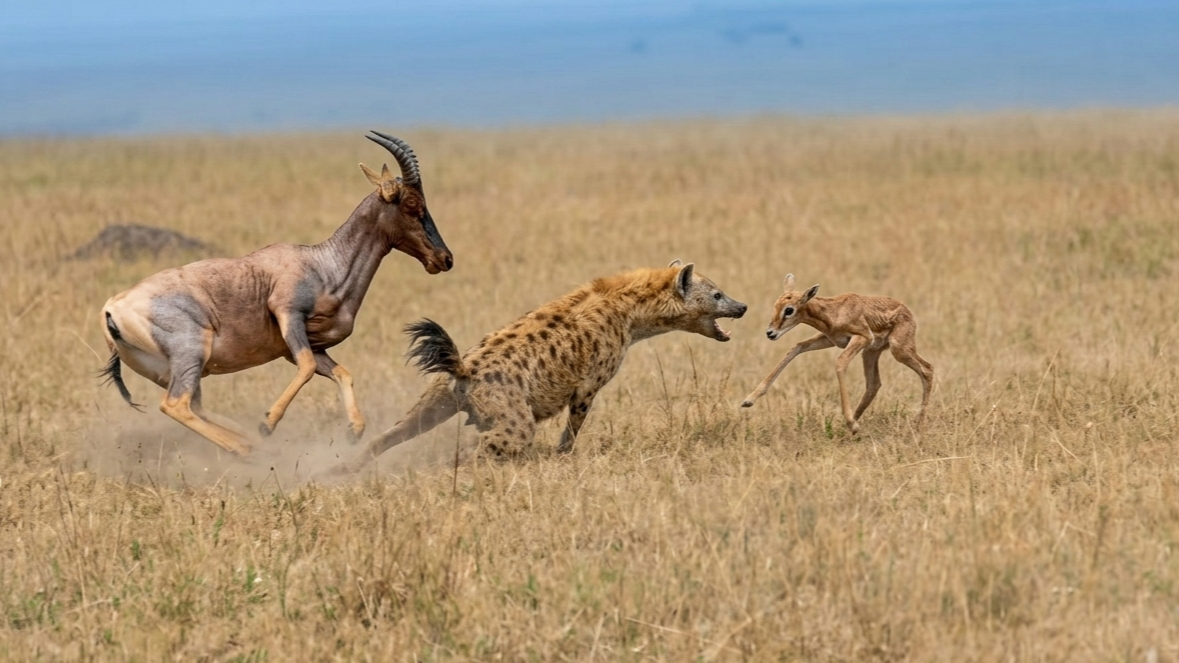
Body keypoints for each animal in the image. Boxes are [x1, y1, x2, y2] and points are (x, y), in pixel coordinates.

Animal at [100, 131, 453, 455]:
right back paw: (247, 449)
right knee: (176, 404)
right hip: (191, 352)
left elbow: (342, 372)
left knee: (195, 405)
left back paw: (248, 442)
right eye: (412, 204)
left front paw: (355, 430)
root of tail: (112, 308)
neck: (321, 262)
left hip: (169, 369)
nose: (445, 258)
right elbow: (307, 367)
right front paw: (267, 422)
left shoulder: (304, 345)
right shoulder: (288, 315)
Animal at [741, 274, 933, 433]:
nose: (770, 333)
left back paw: (918, 425)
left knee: (927, 369)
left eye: (789, 309)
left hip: (898, 349)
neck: (834, 311)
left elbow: (840, 363)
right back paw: (852, 425)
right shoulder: (830, 340)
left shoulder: (861, 337)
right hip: (870, 352)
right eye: (776, 305)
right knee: (874, 384)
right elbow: (796, 347)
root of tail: (908, 312)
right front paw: (748, 400)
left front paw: (851, 424)